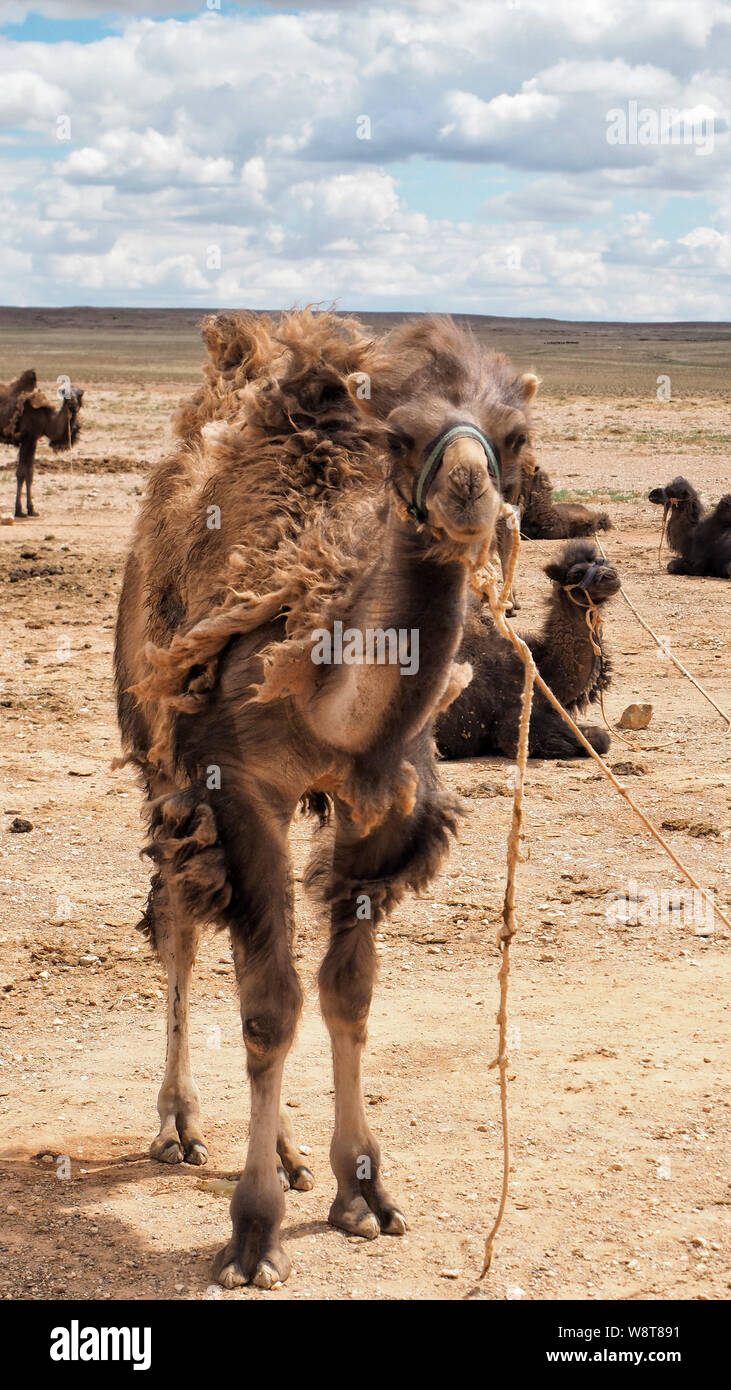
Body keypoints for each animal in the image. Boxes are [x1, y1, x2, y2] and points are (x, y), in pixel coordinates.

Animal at [0, 370, 83, 517]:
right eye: (64, 392)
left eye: (80, 394)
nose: (72, 401)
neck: (48, 420)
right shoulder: (28, 439)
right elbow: (21, 473)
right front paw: (19, 511)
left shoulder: (33, 441)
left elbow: (29, 473)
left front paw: (31, 510)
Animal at [114, 307, 540, 1289]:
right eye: (400, 435)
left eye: (516, 438)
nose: (467, 493)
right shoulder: (236, 790)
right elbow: (270, 1008)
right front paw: (252, 1234)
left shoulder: (378, 799)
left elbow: (346, 992)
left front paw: (363, 1191)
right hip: (161, 759)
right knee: (181, 925)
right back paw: (181, 1126)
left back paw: (290, 1152)